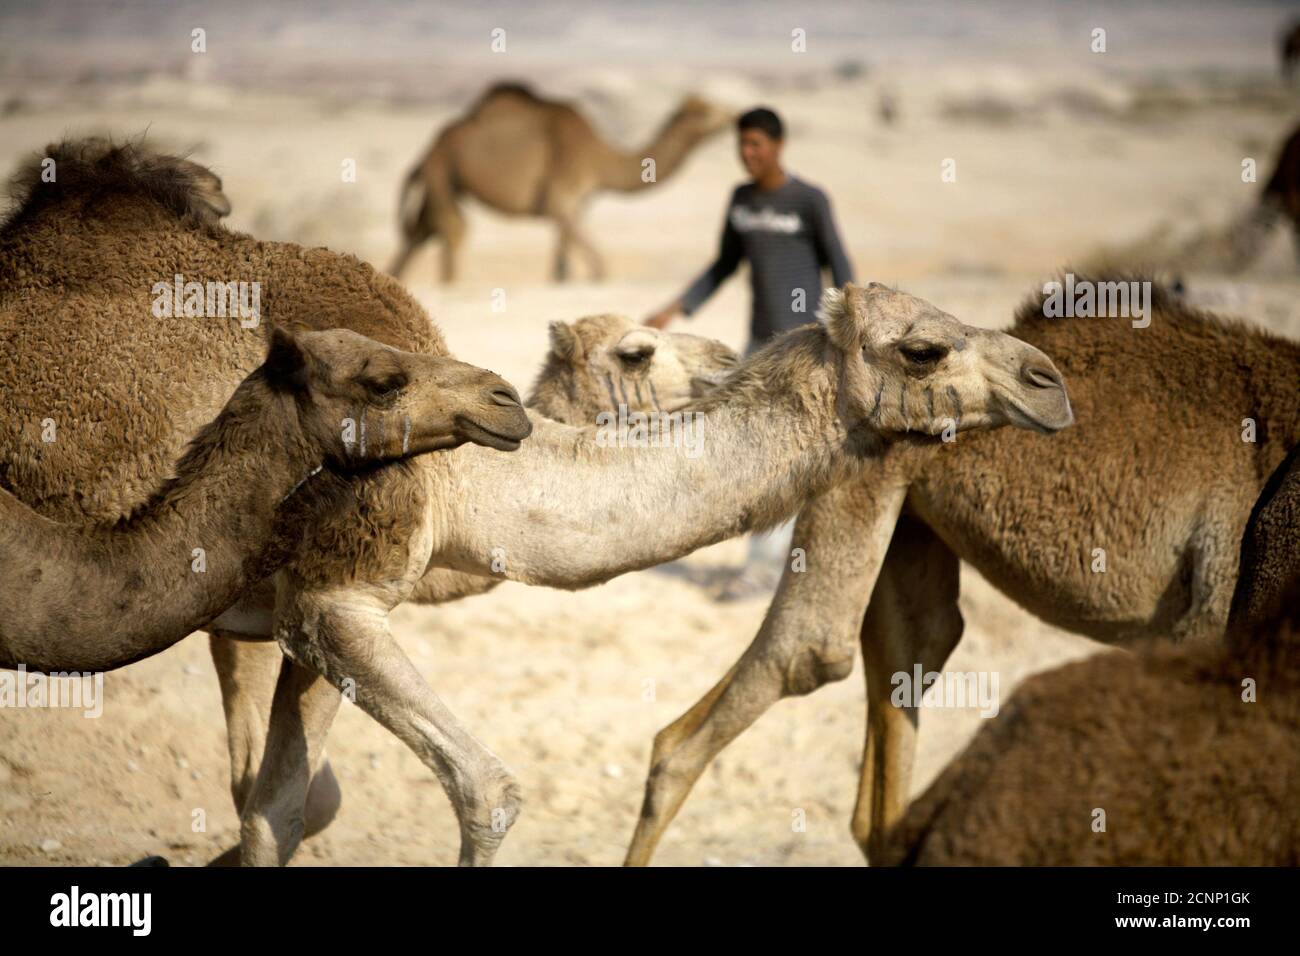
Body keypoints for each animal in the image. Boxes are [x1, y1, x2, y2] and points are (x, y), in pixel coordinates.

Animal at [388, 82, 733, 282]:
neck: (600, 158)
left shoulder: (576, 204)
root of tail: (429, 149)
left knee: (421, 231)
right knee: (452, 228)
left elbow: (564, 256)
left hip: (440, 180)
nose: (732, 115)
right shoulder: (560, 195)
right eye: (705, 112)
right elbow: (598, 268)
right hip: (442, 169)